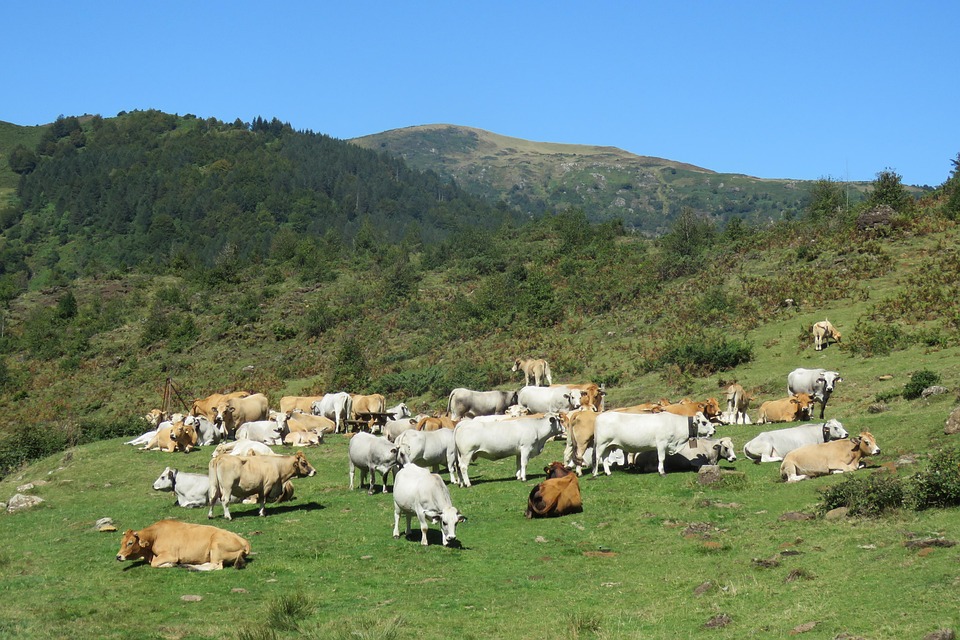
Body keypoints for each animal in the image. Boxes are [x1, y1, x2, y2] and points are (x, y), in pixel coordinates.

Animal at [116, 520, 250, 570]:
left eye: (130, 543)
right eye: (121, 542)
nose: (118, 556)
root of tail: (244, 541)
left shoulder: (170, 555)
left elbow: (155, 563)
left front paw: (170, 564)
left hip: (216, 546)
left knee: (215, 566)